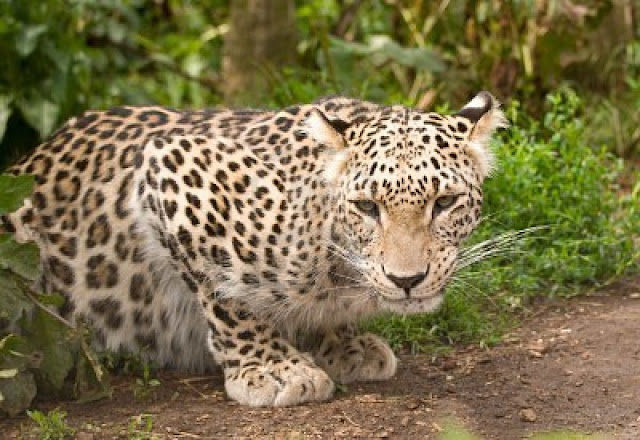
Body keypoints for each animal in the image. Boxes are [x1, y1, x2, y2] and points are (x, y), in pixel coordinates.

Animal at [4, 91, 506, 407]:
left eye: (444, 203)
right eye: (367, 207)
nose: (407, 281)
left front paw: (343, 344)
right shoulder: (170, 165)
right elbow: (226, 294)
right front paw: (274, 368)